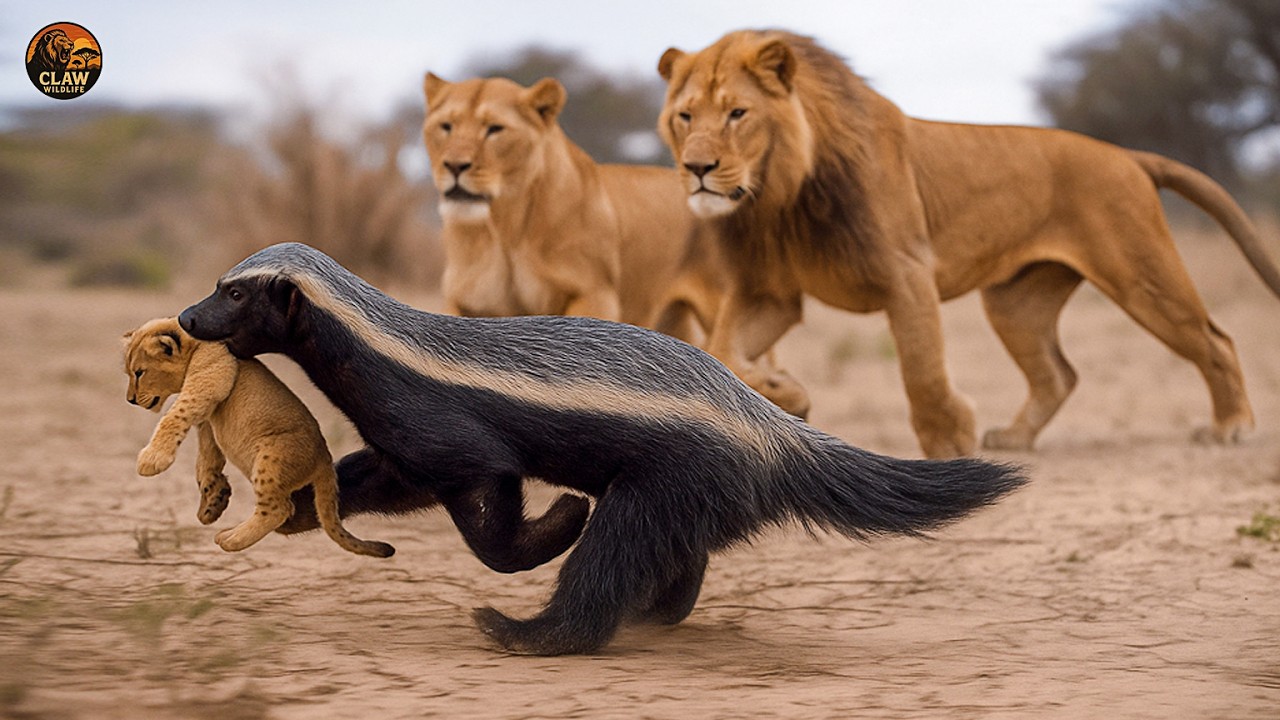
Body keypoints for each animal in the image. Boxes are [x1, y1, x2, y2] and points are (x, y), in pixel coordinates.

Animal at [124, 317, 394, 558]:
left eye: (139, 373)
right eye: (130, 373)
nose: (130, 400)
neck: (195, 346)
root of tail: (324, 457)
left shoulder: (210, 381)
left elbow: (174, 416)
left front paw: (151, 460)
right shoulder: (210, 417)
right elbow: (206, 459)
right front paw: (213, 502)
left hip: (270, 459)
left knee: (280, 509)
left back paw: (231, 539)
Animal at [422, 73, 809, 414]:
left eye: (494, 129)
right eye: (446, 126)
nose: (454, 165)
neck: (506, 227)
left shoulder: (594, 295)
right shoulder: (465, 303)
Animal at [657, 29, 1280, 458]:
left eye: (738, 113)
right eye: (685, 116)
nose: (697, 169)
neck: (778, 196)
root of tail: (1128, 154)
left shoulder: (907, 273)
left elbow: (922, 368)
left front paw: (950, 443)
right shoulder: (771, 292)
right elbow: (719, 351)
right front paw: (787, 392)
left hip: (1140, 275)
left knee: (1216, 341)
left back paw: (1230, 427)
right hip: (1014, 303)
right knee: (1059, 374)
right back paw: (1015, 438)